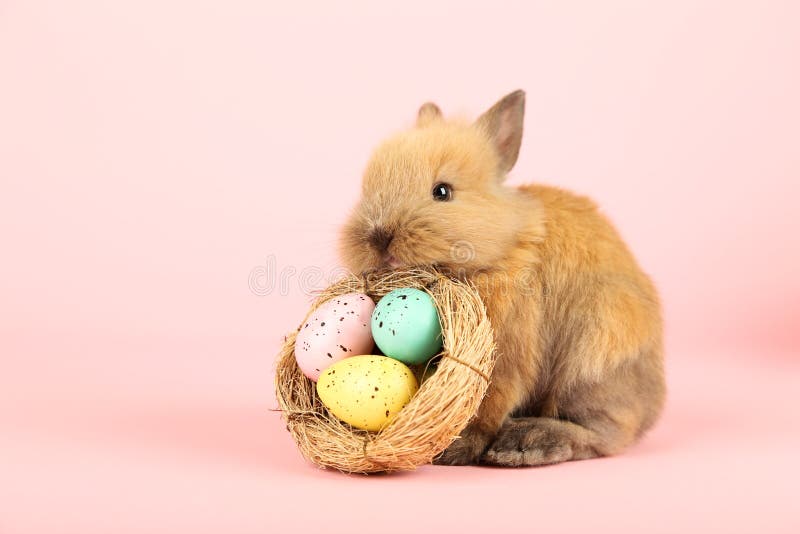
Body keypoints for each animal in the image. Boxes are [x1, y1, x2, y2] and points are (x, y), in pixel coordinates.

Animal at [338, 90, 665, 466]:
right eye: (367, 186)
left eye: (442, 192)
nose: (379, 236)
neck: (497, 253)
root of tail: (654, 403)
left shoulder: (508, 355)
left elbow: (487, 407)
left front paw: (453, 449)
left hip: (593, 361)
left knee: (606, 435)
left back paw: (524, 444)